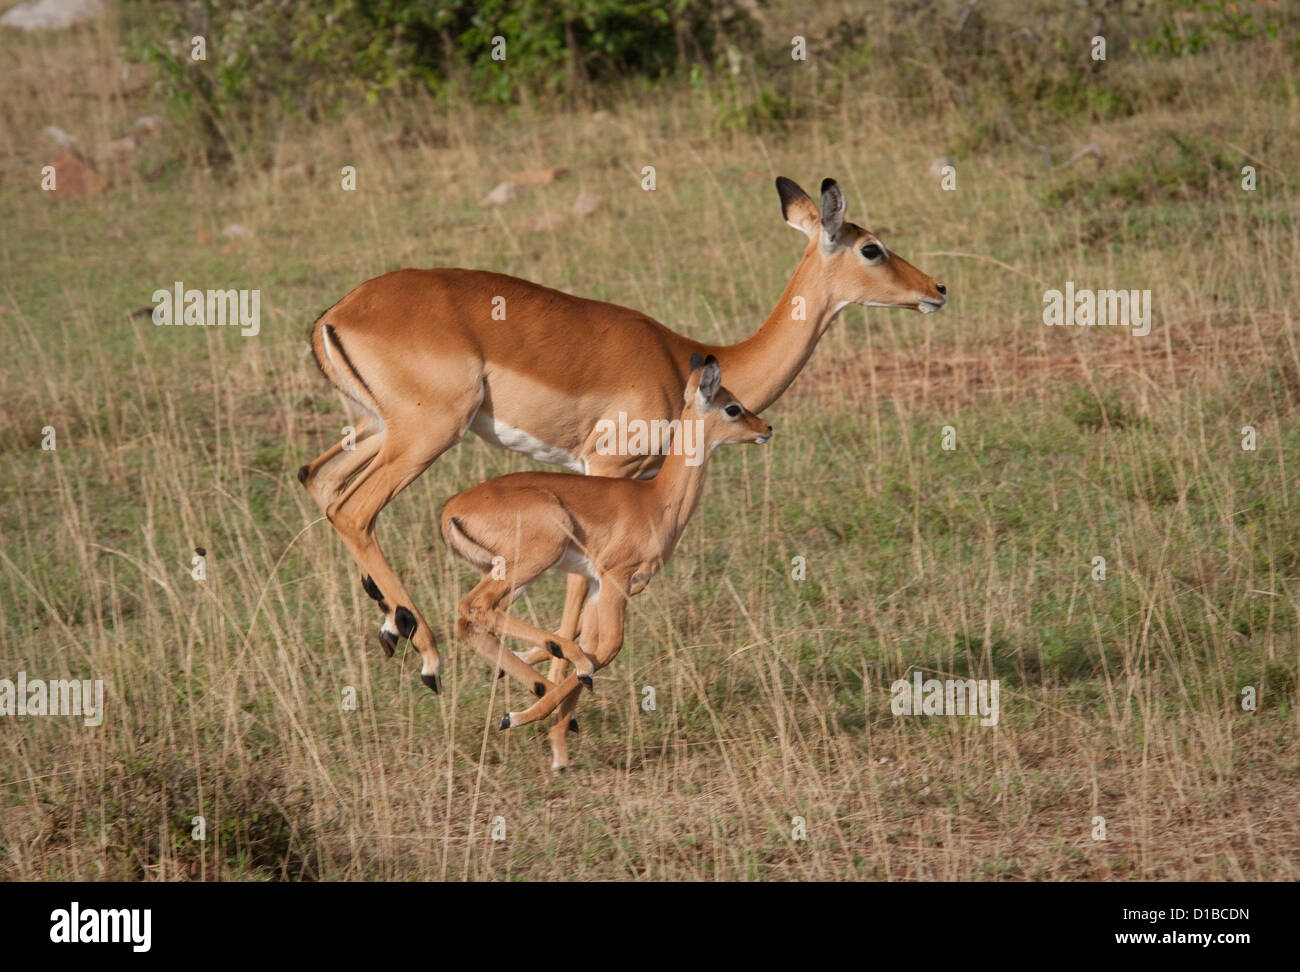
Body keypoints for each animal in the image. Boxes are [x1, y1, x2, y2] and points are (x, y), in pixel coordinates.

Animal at [299, 176, 945, 707]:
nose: (936, 288)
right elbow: (579, 597)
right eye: (871, 247)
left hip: (377, 428)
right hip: (427, 433)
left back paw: (397, 629)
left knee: (319, 481)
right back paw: (432, 660)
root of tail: (336, 314)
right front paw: (561, 687)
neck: (686, 360)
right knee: (355, 509)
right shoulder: (606, 470)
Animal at [440, 354, 770, 769]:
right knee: (476, 607)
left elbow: (596, 645)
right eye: (732, 407)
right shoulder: (616, 579)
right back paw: (533, 695)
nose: (767, 428)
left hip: (512, 575)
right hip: (534, 559)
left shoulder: (601, 587)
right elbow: (610, 646)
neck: (656, 501)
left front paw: (559, 751)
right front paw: (520, 719)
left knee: (470, 622)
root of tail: (451, 509)